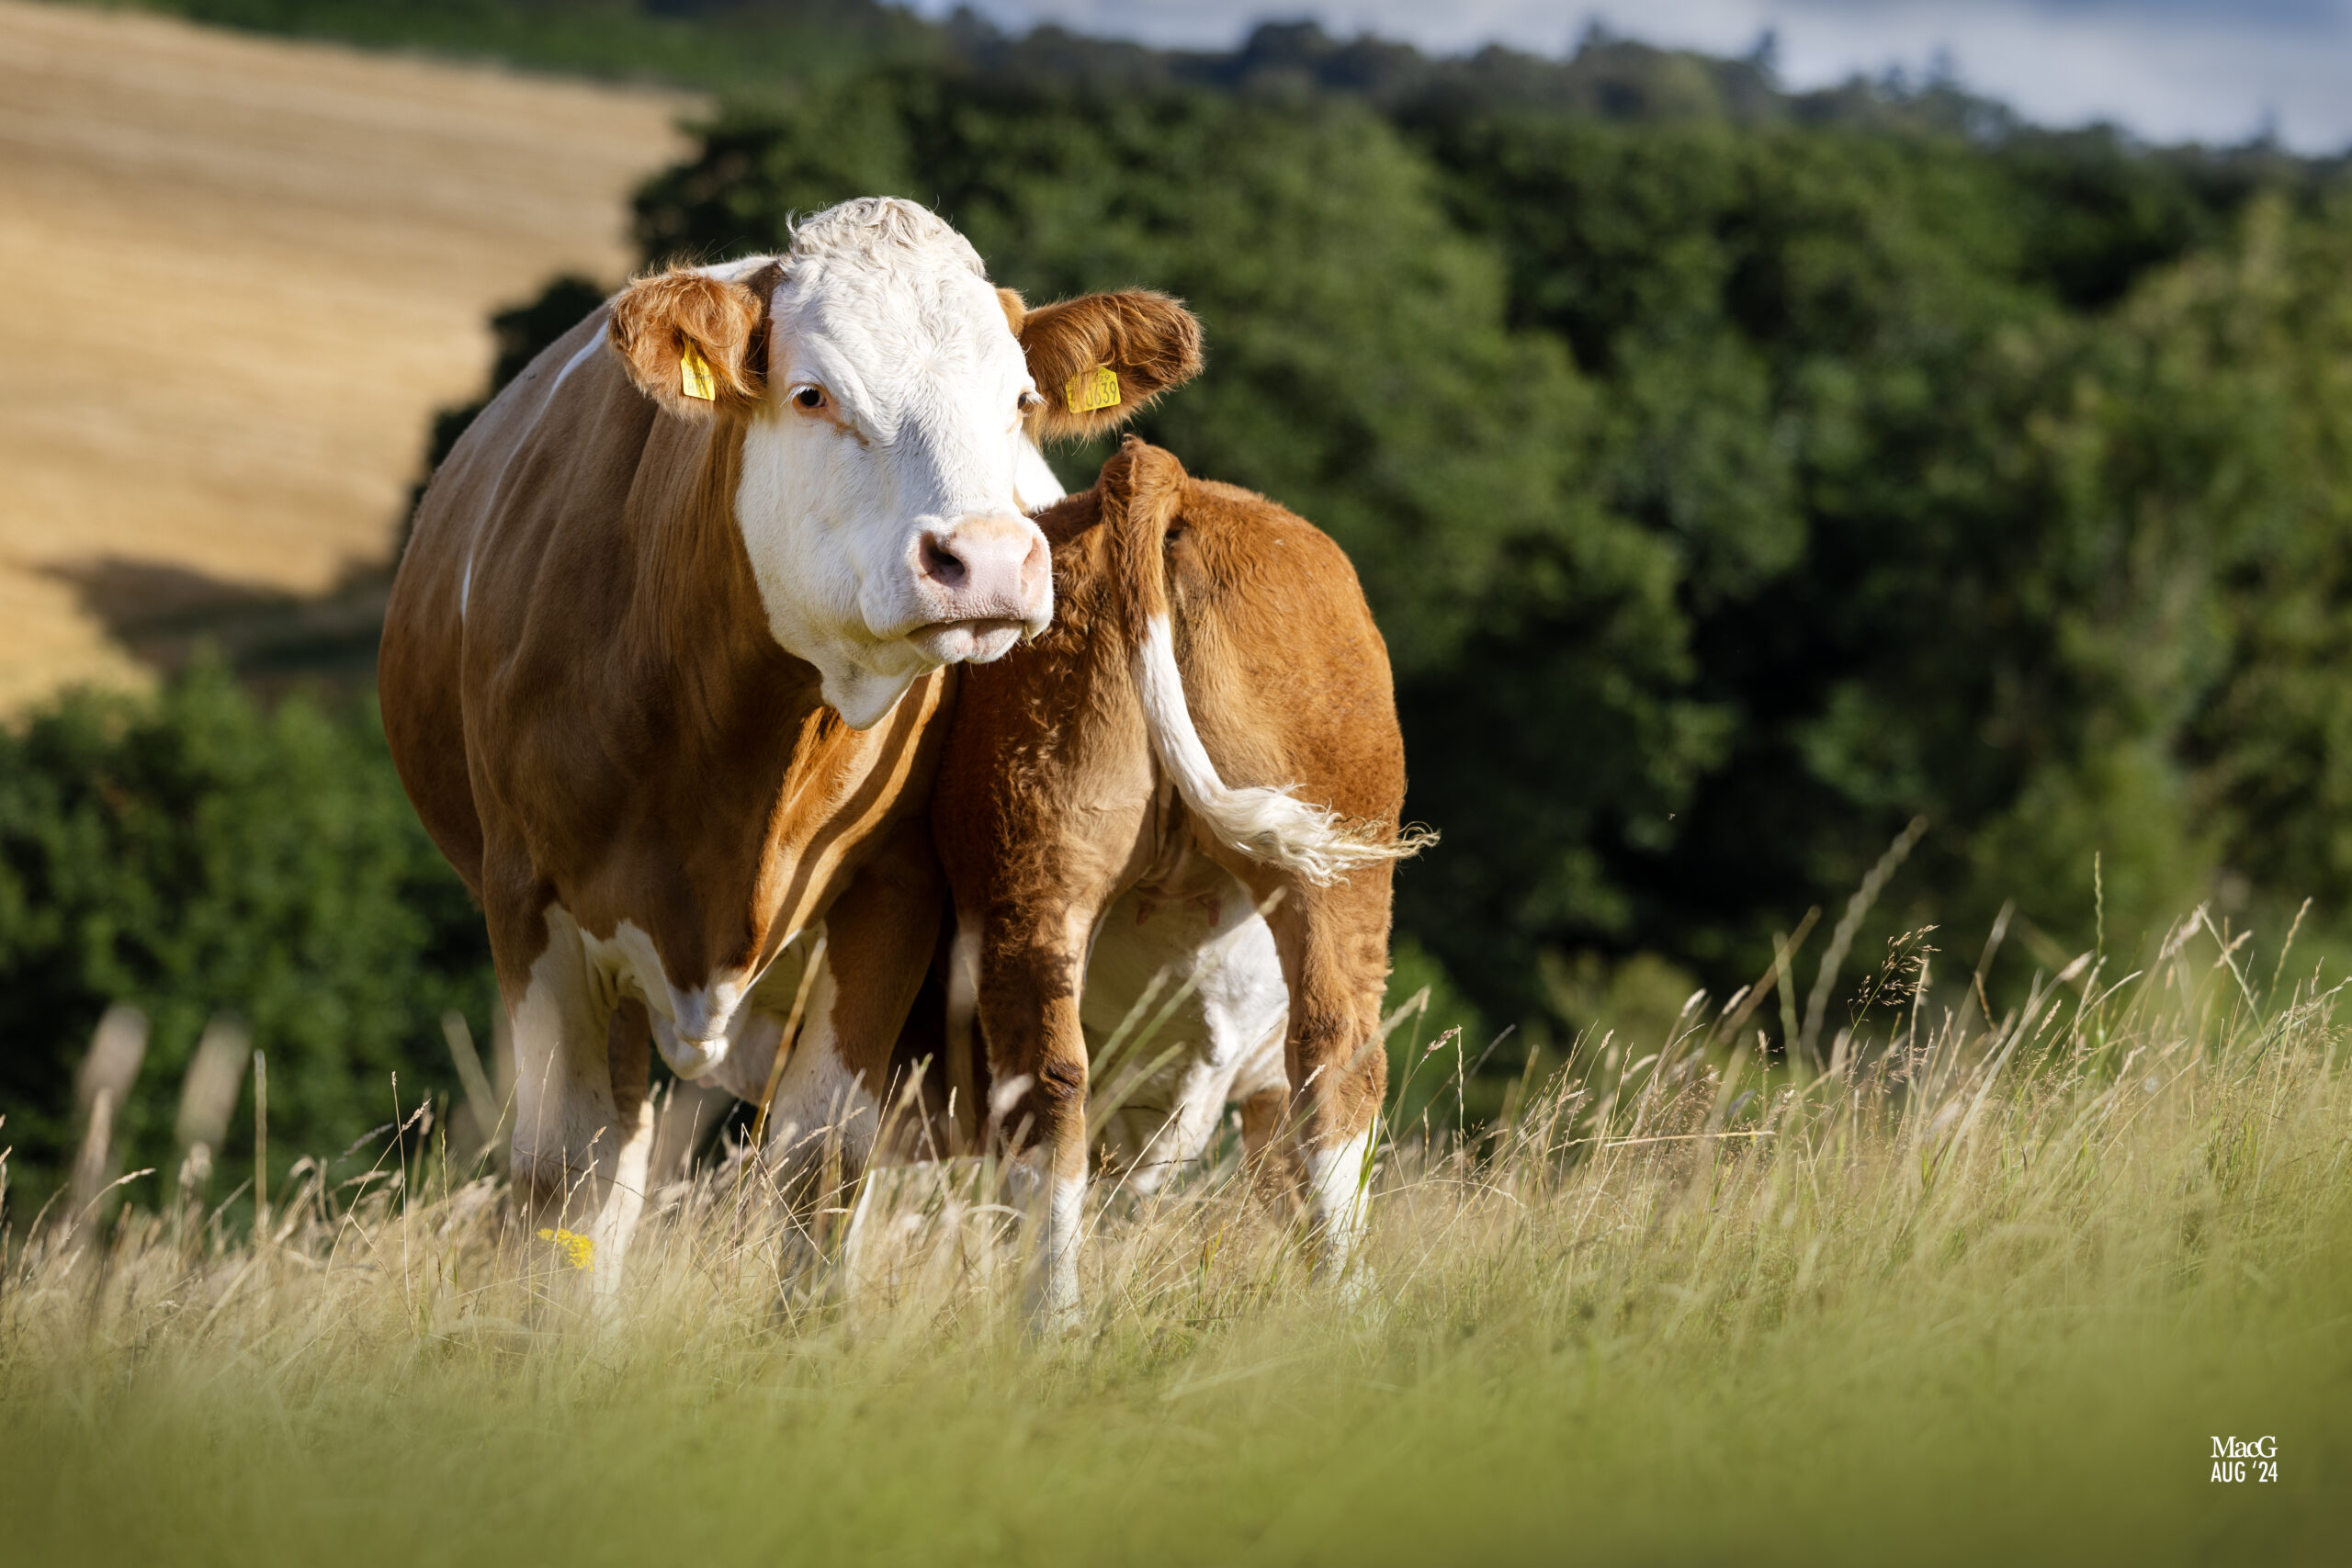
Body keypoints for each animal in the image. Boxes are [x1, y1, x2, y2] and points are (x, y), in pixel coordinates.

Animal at [378, 196, 1202, 1292]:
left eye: (1021, 400)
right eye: (813, 395)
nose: (987, 560)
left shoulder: (891, 892)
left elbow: (822, 1166)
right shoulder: (531, 909)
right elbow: (560, 1182)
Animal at [754, 438, 1425, 1322]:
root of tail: (1168, 480)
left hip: (1036, 863)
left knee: (1048, 1084)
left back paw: (1052, 1321)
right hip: (1318, 863)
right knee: (1330, 1058)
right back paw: (1340, 1309)